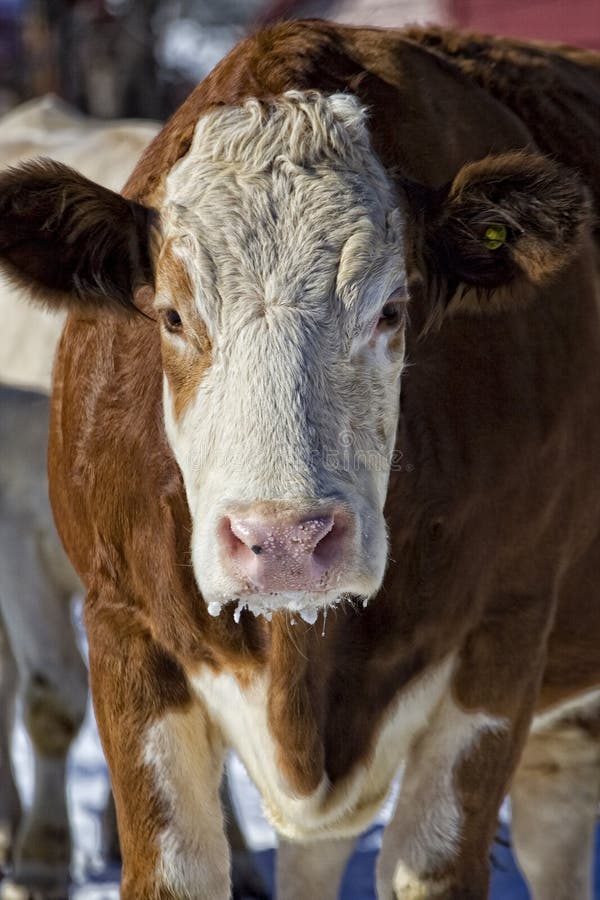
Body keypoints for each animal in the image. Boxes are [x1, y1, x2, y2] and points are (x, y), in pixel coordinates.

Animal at [1, 19, 600, 900]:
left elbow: (432, 863)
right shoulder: (119, 620)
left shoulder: (507, 629)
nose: (282, 540)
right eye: (172, 315)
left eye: (392, 311)